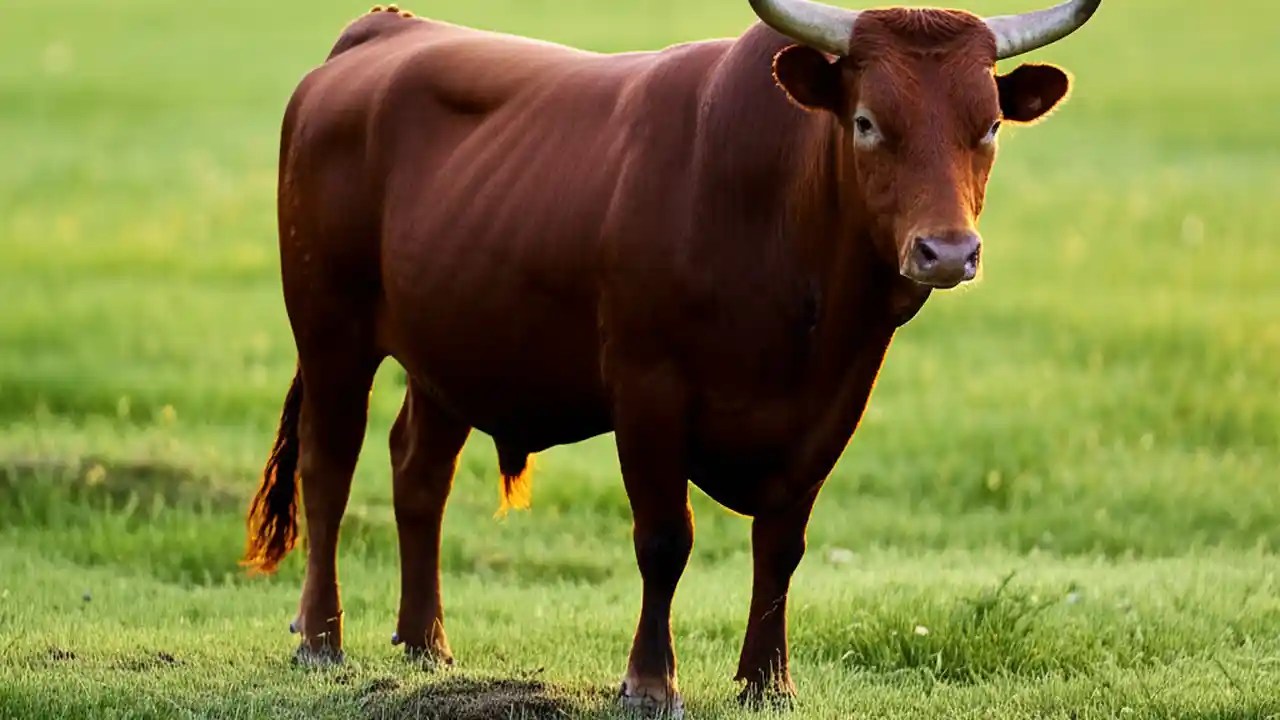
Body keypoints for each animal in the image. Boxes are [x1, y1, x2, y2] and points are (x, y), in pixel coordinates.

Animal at [242, 0, 1102, 714]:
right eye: (865, 121)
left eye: (987, 126)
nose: (947, 251)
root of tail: (383, 30)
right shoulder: (647, 391)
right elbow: (664, 540)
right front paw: (651, 682)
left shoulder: (833, 404)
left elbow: (781, 547)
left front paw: (768, 681)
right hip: (331, 332)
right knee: (329, 467)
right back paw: (321, 638)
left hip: (449, 350)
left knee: (419, 473)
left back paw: (426, 643)